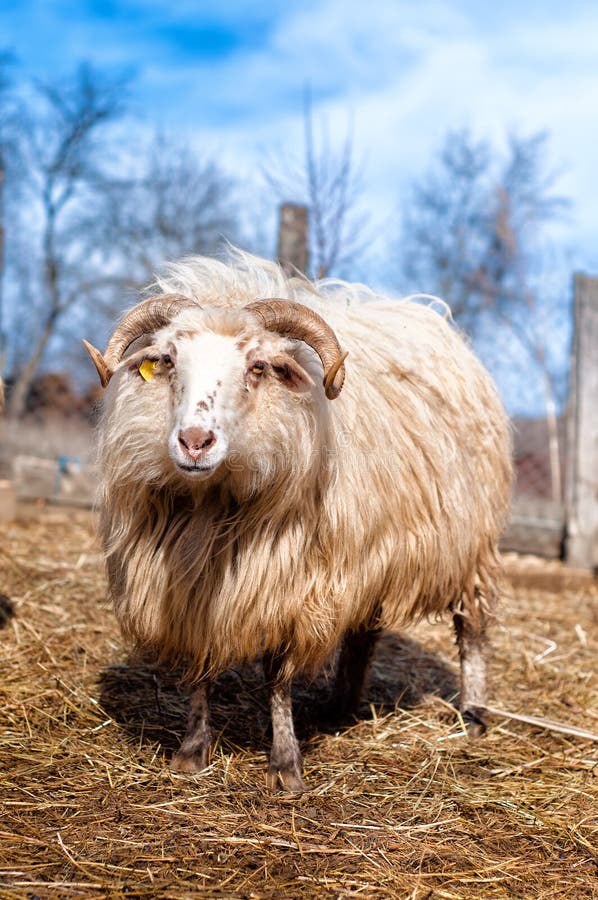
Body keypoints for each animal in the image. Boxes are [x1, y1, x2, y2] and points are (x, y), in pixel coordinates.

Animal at [83, 249, 512, 791]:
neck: (212, 504)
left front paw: (286, 764)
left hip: (469, 546)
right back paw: (340, 705)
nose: (195, 442)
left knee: (472, 628)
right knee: (363, 632)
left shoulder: (293, 582)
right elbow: (199, 670)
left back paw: (474, 716)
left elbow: (278, 676)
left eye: (258, 366)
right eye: (169, 361)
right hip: (369, 554)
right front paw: (192, 752)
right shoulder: (186, 589)